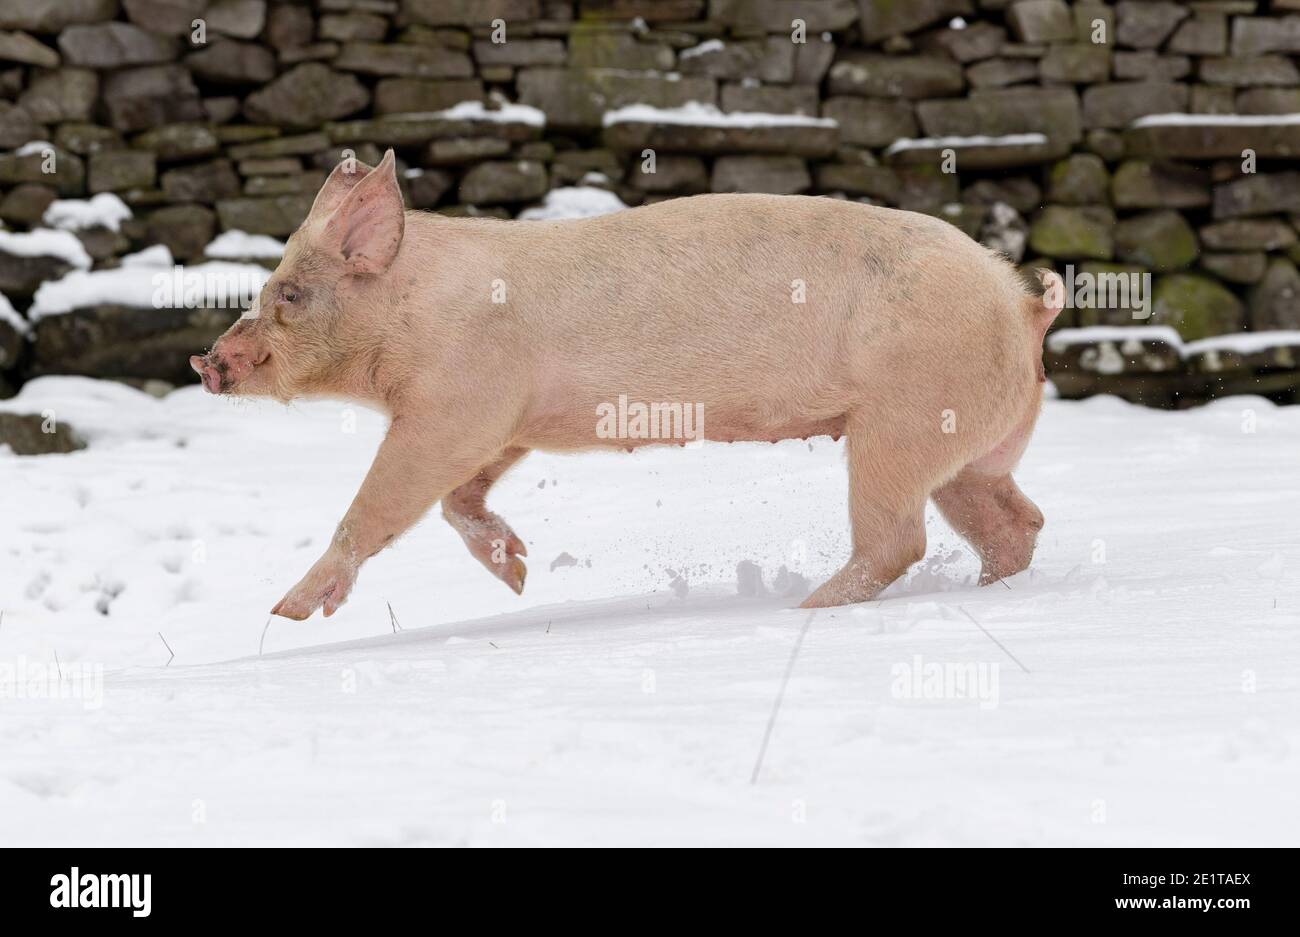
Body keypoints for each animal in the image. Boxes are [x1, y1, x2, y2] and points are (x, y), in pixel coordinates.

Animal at [191, 149, 1062, 621]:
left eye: (288, 294)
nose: (207, 363)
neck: (411, 310)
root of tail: (1022, 305)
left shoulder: (458, 403)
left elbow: (381, 502)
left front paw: (283, 611)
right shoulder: (507, 421)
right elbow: (457, 498)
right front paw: (518, 574)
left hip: (900, 420)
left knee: (899, 538)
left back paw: (803, 608)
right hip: (969, 443)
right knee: (1017, 518)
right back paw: (990, 588)